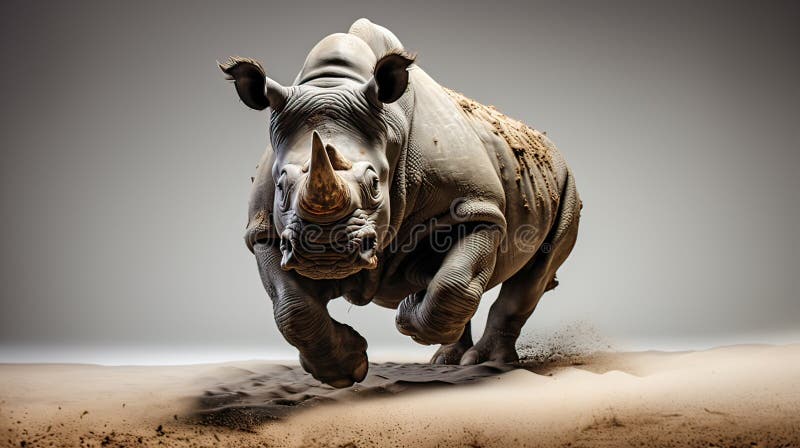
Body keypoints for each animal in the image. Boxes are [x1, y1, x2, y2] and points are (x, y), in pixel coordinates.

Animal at [220, 18, 581, 387]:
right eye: (280, 185)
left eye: (374, 183)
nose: (324, 251)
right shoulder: (265, 230)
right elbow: (292, 308)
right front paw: (345, 370)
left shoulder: (478, 207)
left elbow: (454, 284)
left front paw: (407, 313)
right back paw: (445, 359)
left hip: (566, 184)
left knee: (531, 272)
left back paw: (484, 361)